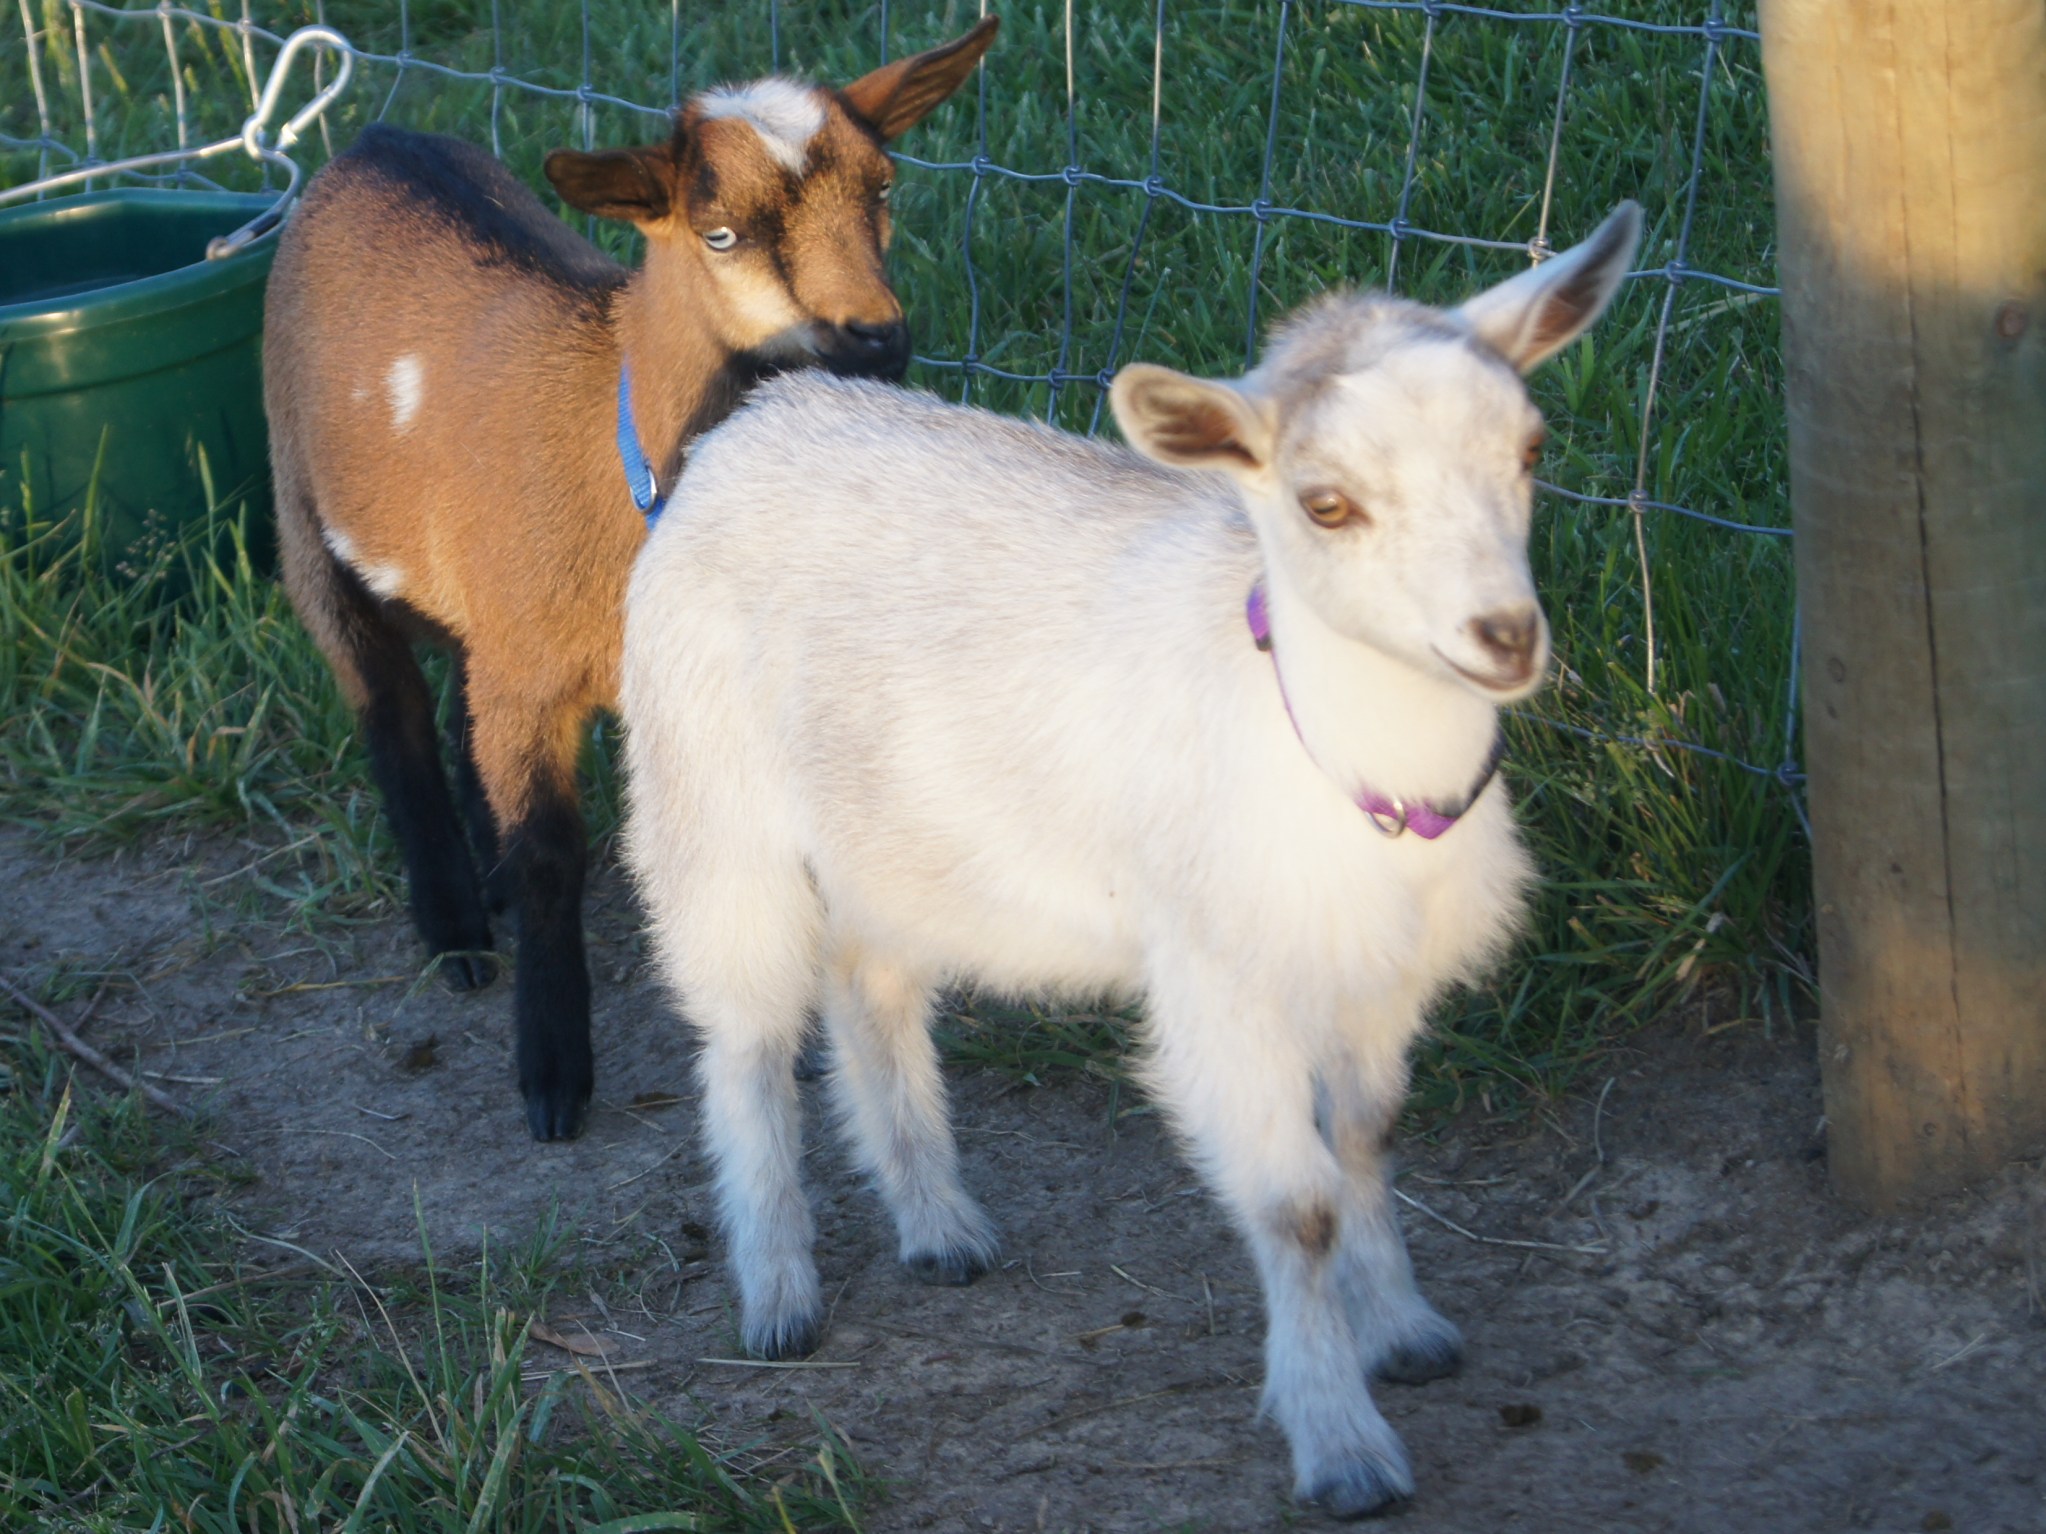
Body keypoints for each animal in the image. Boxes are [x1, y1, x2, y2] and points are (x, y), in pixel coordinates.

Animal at [261, 17, 998, 1141]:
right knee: (390, 710)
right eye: (720, 234)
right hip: (304, 518)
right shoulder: (532, 672)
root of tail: (375, 140)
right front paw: (552, 1071)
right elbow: (553, 851)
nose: (875, 339)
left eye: (883, 188)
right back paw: (456, 928)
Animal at [620, 203, 1641, 1516]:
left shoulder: (1376, 965)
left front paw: (1404, 1329)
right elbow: (1296, 1205)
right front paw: (1340, 1442)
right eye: (1326, 504)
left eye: (1530, 446)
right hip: (712, 811)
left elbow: (1367, 1137)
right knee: (743, 1040)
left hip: (889, 831)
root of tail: (758, 423)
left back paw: (938, 1223)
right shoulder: (1225, 975)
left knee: (871, 986)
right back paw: (780, 1296)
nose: (1503, 635)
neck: (1331, 746)